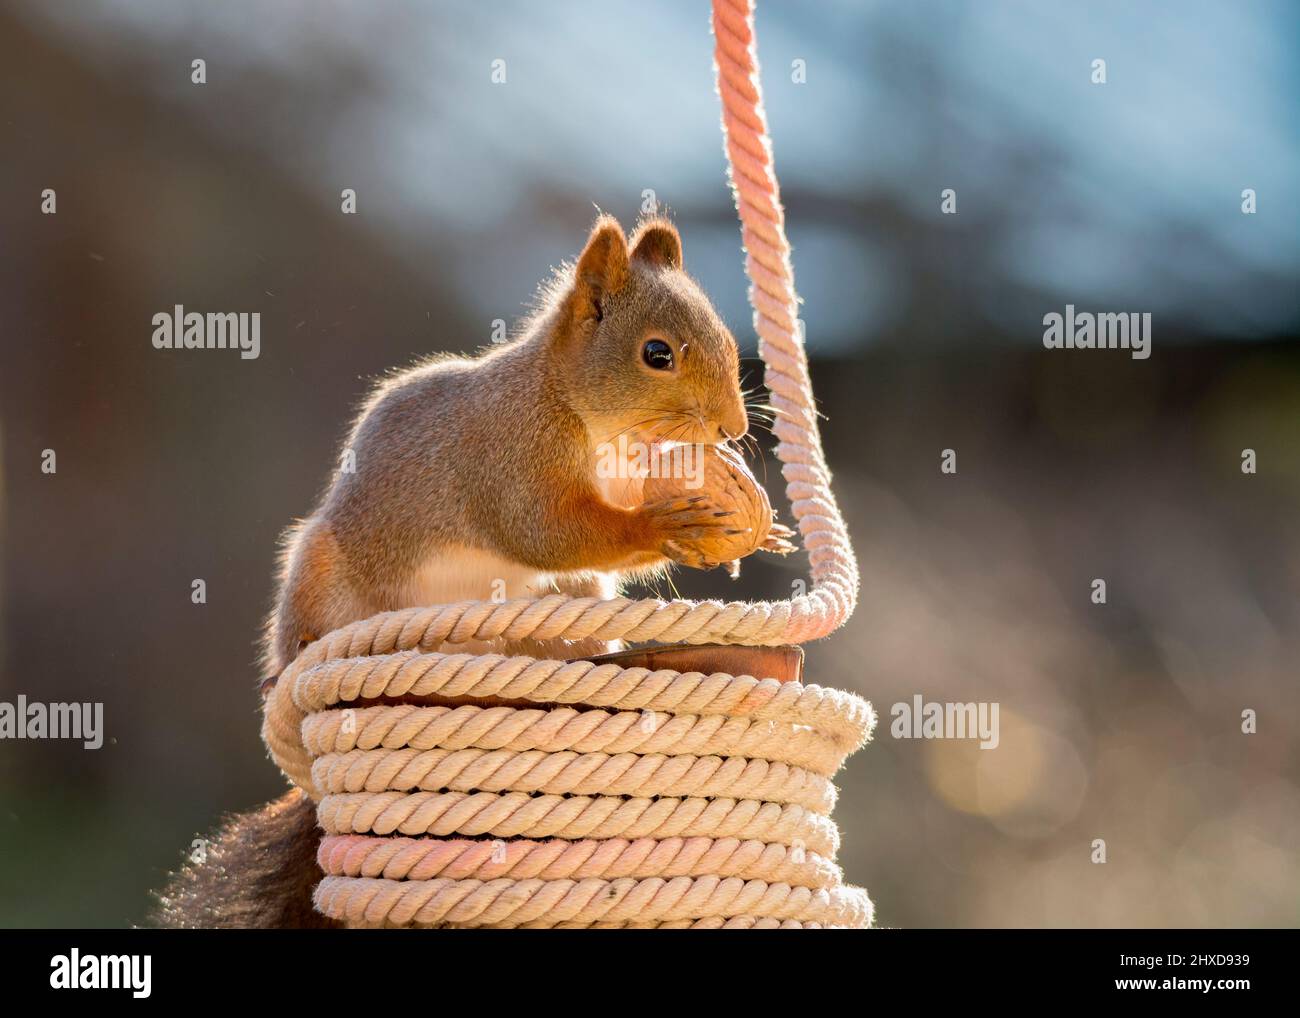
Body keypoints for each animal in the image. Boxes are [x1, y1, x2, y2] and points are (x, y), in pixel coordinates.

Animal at [154, 215, 756, 927]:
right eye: (657, 354)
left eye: (726, 339)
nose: (733, 427)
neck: (574, 407)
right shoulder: (510, 460)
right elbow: (547, 534)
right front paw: (667, 528)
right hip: (324, 571)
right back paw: (294, 658)